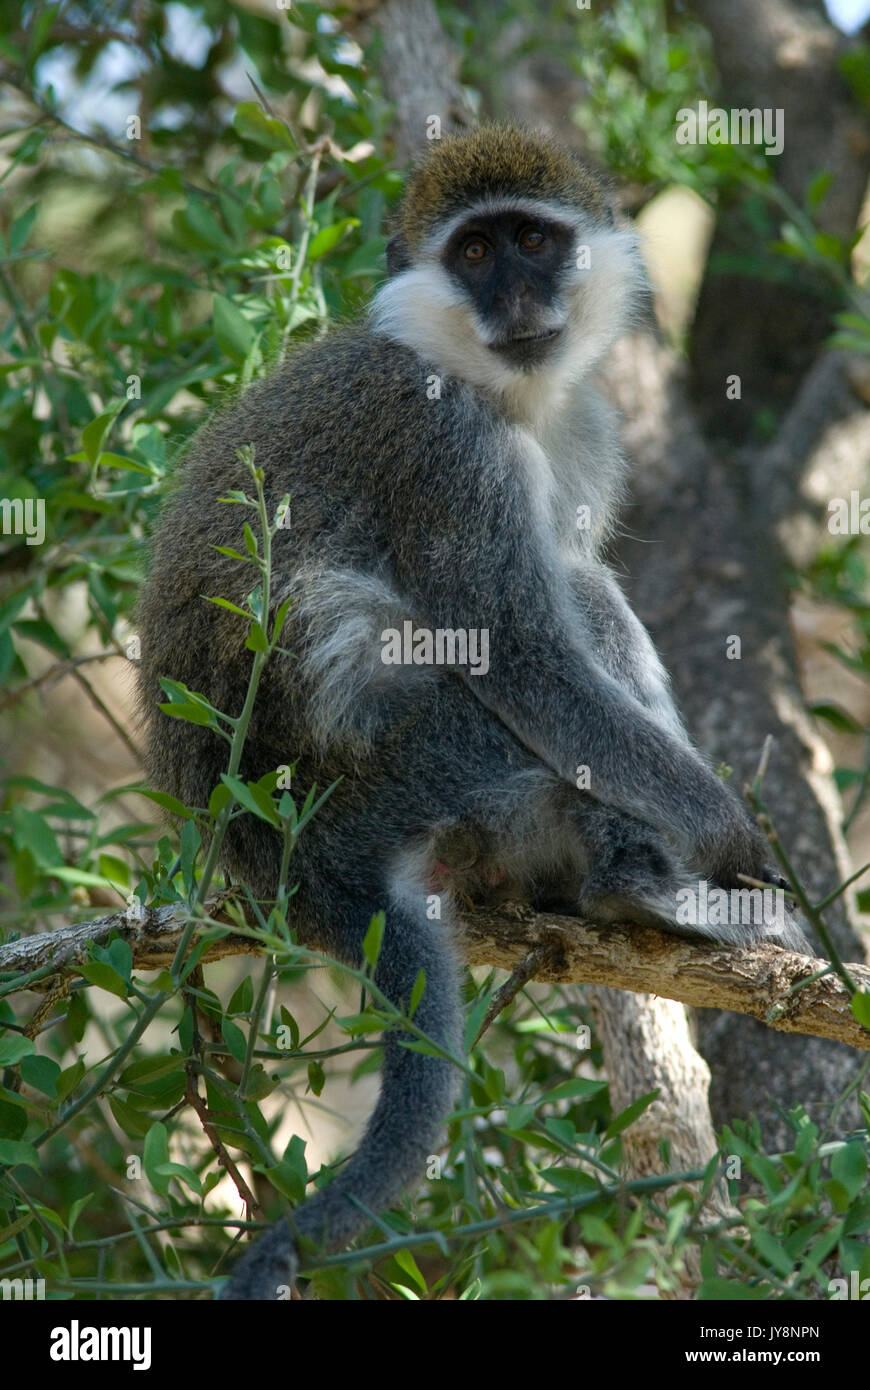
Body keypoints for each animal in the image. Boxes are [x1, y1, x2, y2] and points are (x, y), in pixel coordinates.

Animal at [136, 124, 805, 1300]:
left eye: (533, 242)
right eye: (476, 254)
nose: (518, 297)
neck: (489, 387)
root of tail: (292, 862)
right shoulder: (447, 453)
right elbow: (525, 656)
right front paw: (726, 836)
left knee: (584, 590)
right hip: (404, 763)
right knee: (549, 644)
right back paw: (637, 885)